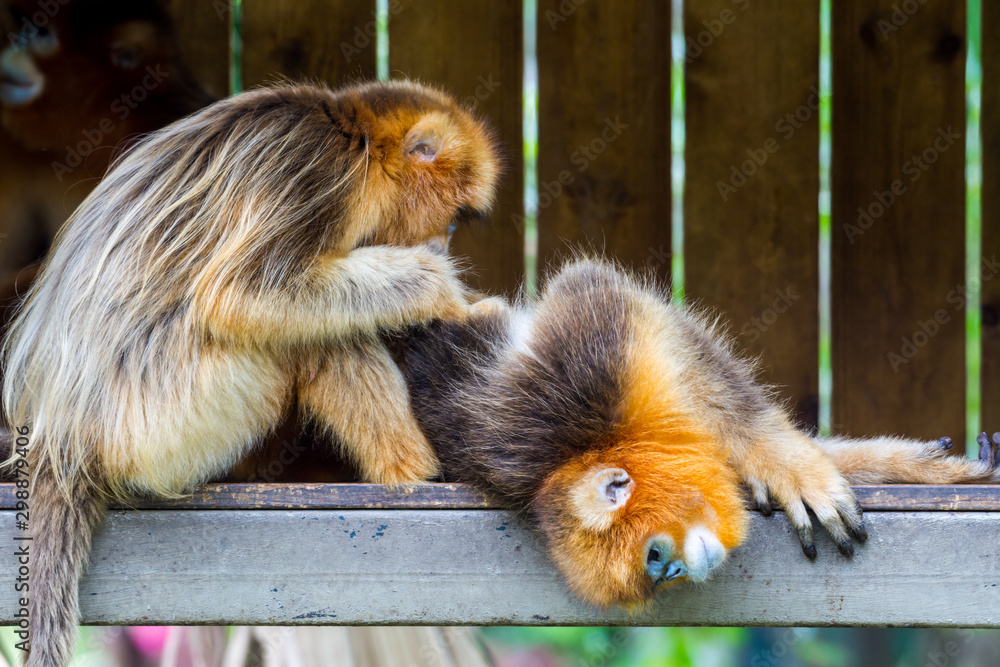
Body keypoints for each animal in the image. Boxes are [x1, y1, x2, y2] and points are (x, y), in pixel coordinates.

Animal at [2, 79, 500, 667]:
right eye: (452, 216)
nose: (444, 242)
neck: (352, 135)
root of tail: (61, 436)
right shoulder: (318, 174)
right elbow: (240, 295)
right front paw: (436, 287)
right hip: (165, 422)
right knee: (320, 337)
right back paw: (418, 475)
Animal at [387, 257, 1000, 609]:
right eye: (655, 575)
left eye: (655, 555)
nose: (678, 570)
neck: (583, 448)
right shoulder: (508, 461)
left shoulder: (578, 384)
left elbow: (597, 291)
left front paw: (785, 462)